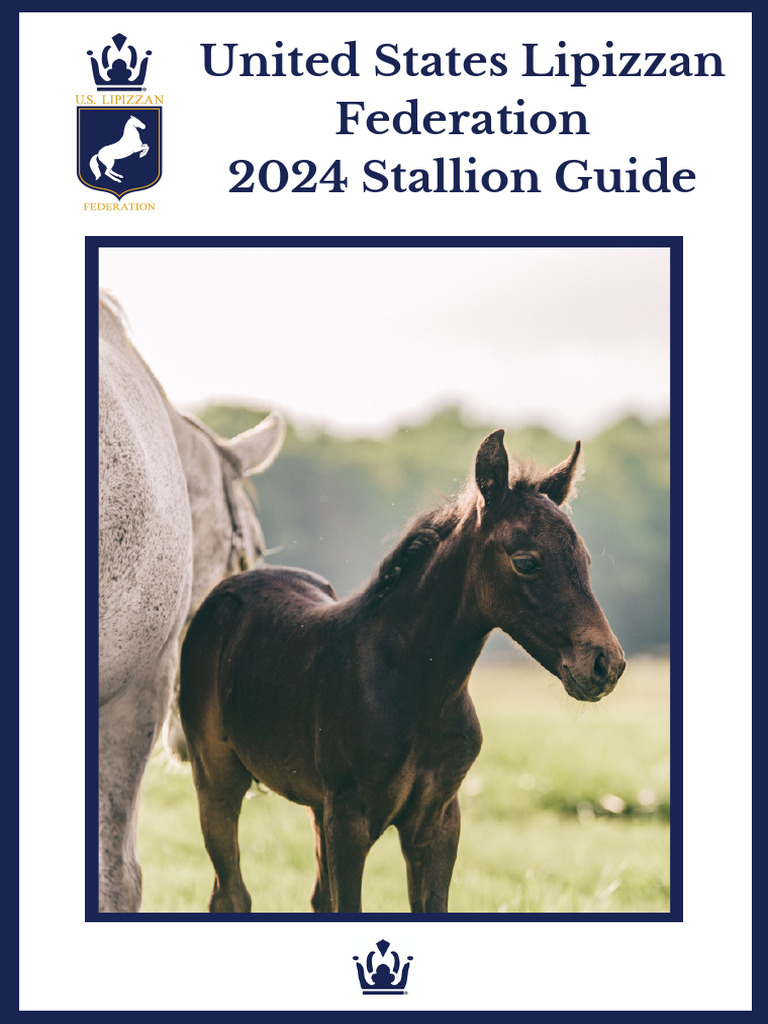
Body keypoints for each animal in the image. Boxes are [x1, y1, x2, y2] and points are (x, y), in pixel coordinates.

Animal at [179, 429, 626, 914]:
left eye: (584, 558)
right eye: (527, 561)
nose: (605, 664)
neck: (419, 691)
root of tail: (226, 590)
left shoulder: (437, 819)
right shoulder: (350, 819)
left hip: (316, 805)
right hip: (216, 774)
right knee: (230, 894)